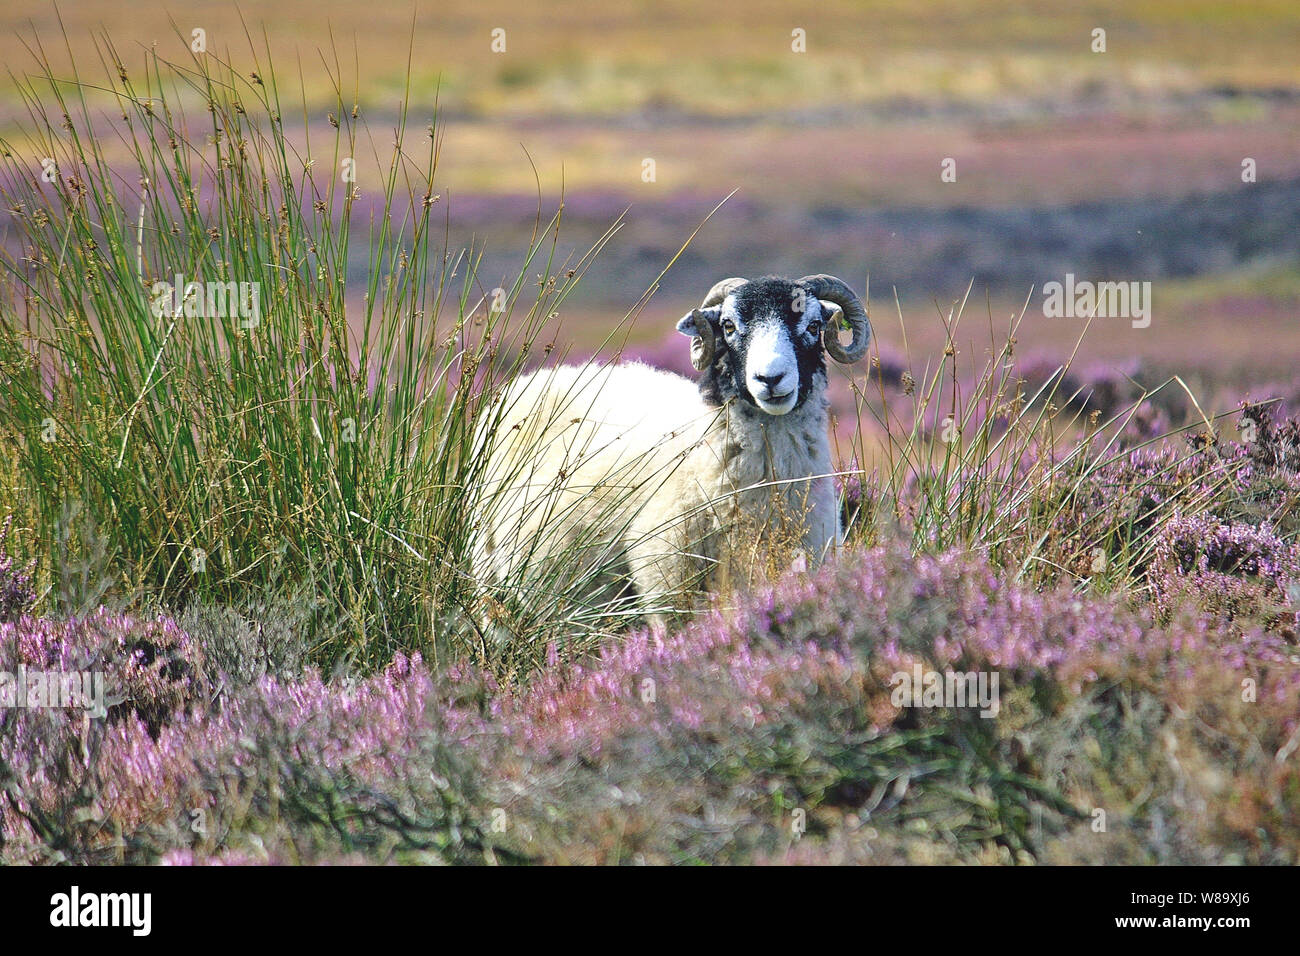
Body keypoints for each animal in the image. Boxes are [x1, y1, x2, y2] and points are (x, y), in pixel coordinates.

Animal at [470, 274, 872, 626]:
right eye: (729, 326)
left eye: (814, 325)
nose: (770, 379)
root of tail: (532, 378)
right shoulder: (666, 583)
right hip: (490, 571)